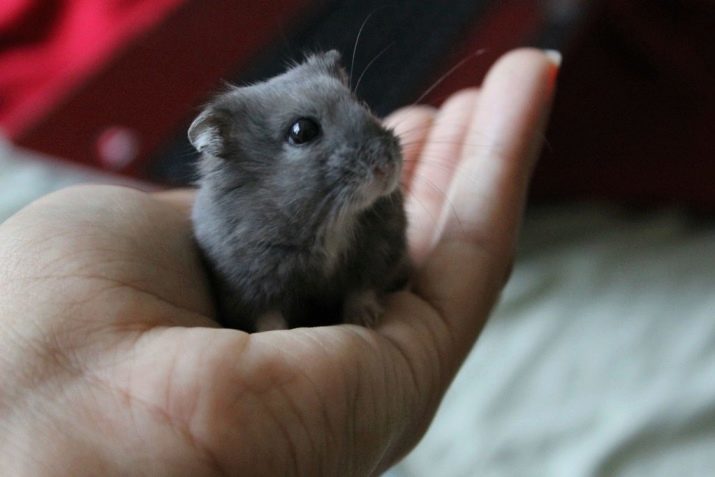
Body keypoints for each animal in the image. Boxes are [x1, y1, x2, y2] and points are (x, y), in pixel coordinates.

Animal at [187, 49, 408, 330]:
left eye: (362, 104)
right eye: (302, 131)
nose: (388, 168)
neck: (329, 220)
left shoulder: (379, 253)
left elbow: (361, 290)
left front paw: (366, 320)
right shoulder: (249, 286)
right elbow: (268, 318)